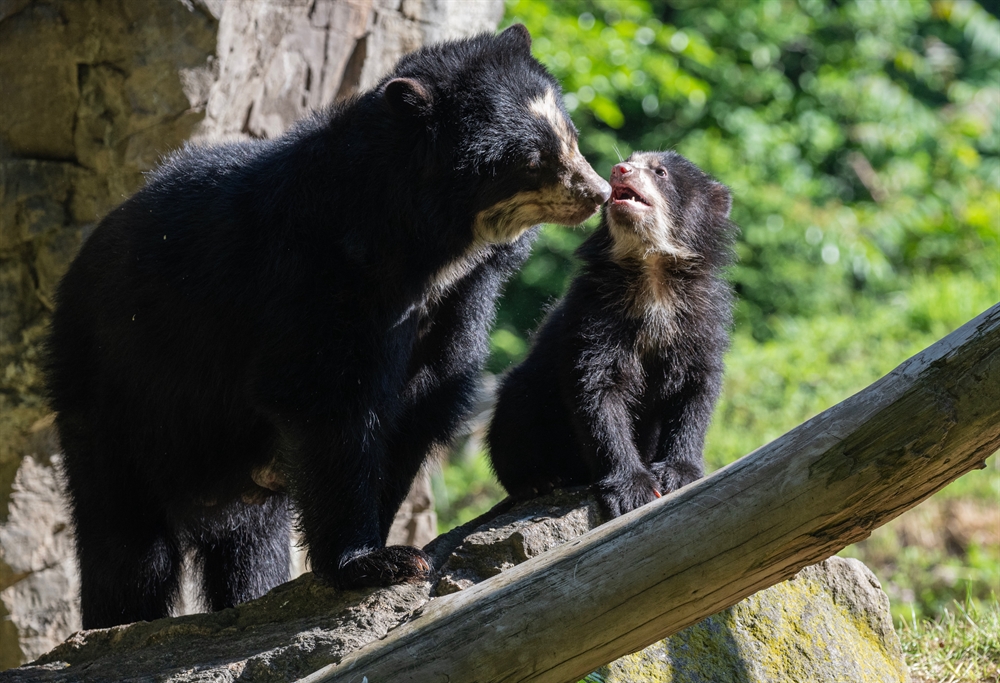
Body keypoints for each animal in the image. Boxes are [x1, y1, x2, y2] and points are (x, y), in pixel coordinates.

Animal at [44, 24, 611, 629]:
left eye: (569, 134)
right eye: (530, 157)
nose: (599, 192)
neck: (432, 253)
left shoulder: (460, 300)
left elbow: (424, 397)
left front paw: (389, 545)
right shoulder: (316, 278)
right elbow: (327, 399)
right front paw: (374, 563)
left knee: (250, 543)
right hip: (118, 391)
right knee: (126, 538)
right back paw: (122, 620)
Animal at [488, 150, 736, 518]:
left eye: (660, 172)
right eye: (631, 159)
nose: (619, 169)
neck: (652, 272)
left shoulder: (700, 319)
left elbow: (696, 389)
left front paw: (678, 473)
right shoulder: (595, 314)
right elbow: (598, 390)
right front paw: (633, 490)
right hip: (524, 398)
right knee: (514, 412)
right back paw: (538, 481)